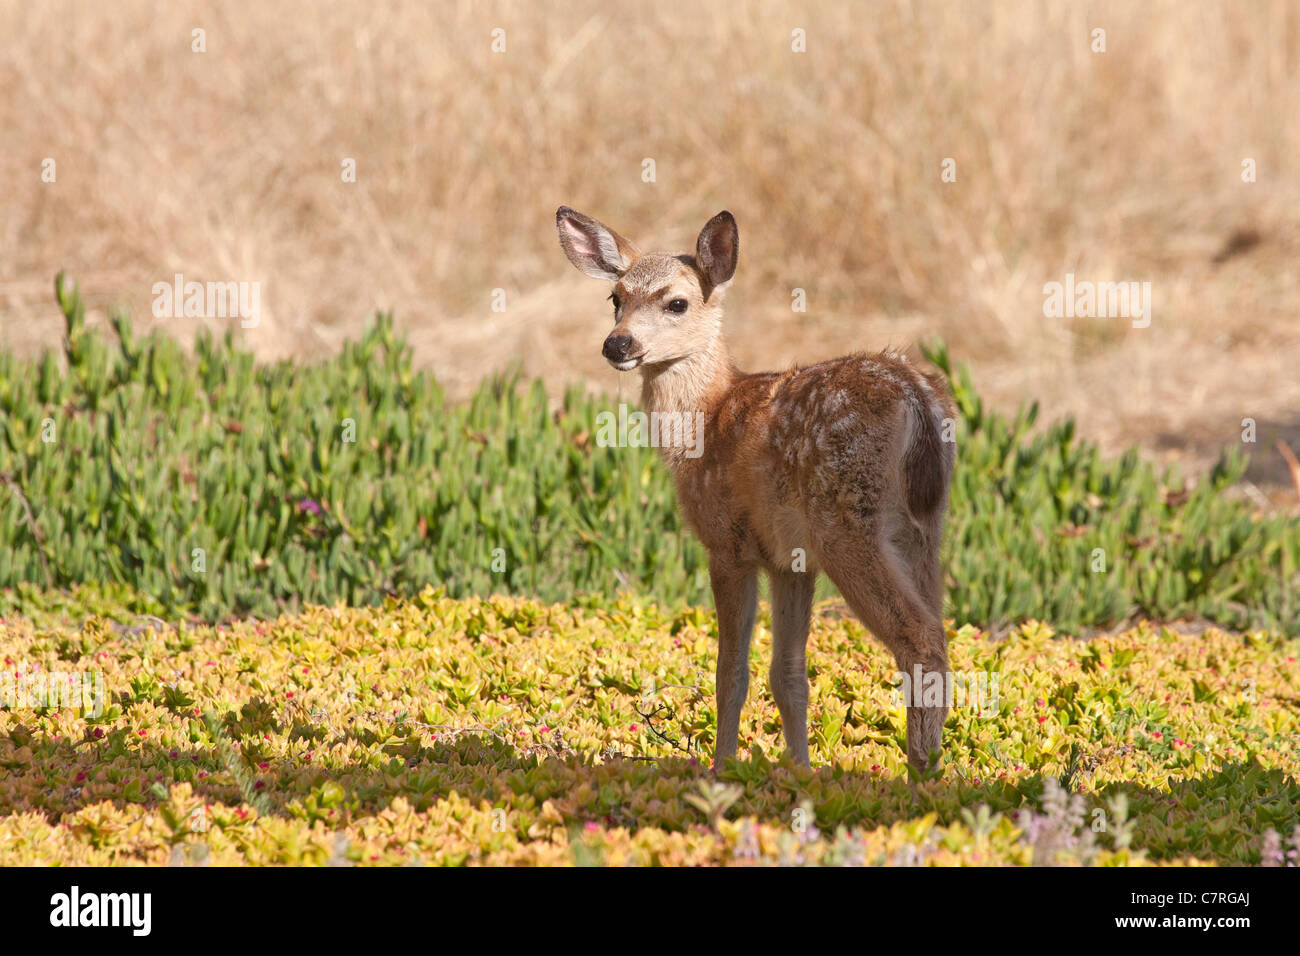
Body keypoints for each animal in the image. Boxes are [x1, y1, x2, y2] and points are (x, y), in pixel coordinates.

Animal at [556, 206, 957, 775]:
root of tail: (917, 398)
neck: (706, 418)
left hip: (846, 523)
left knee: (919, 638)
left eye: (676, 302)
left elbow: (731, 673)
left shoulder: (728, 545)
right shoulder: (791, 561)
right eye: (616, 298)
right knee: (939, 630)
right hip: (925, 529)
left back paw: (919, 772)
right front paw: (800, 771)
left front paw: (721, 768)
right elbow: (788, 675)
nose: (618, 344)